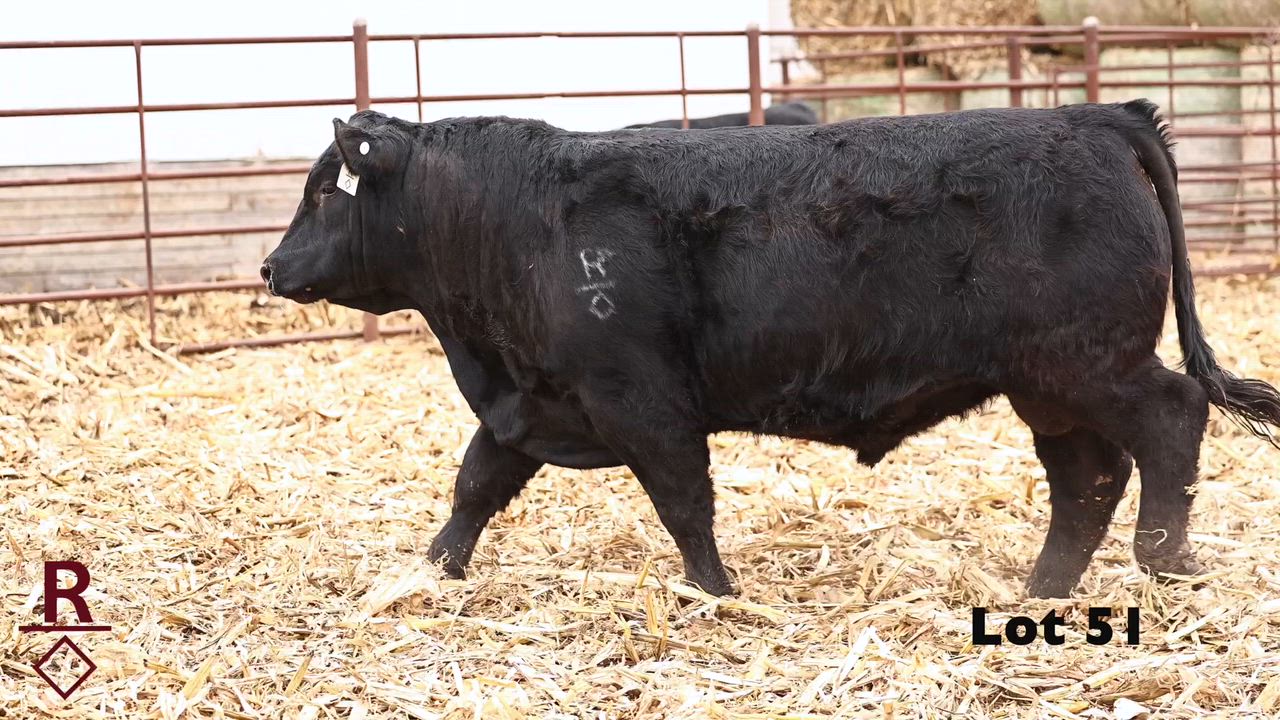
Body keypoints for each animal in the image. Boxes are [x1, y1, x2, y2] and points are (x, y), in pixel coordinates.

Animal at [261, 101, 1280, 598]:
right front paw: (428, 571)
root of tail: (1096, 118)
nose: (270, 266)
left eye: (321, 193)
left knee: (1173, 419)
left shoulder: (644, 403)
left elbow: (685, 505)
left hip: (1092, 364)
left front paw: (718, 594)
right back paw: (1045, 590)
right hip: (1049, 389)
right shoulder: (531, 401)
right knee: (1088, 480)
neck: (526, 221)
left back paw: (1165, 556)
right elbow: (474, 486)